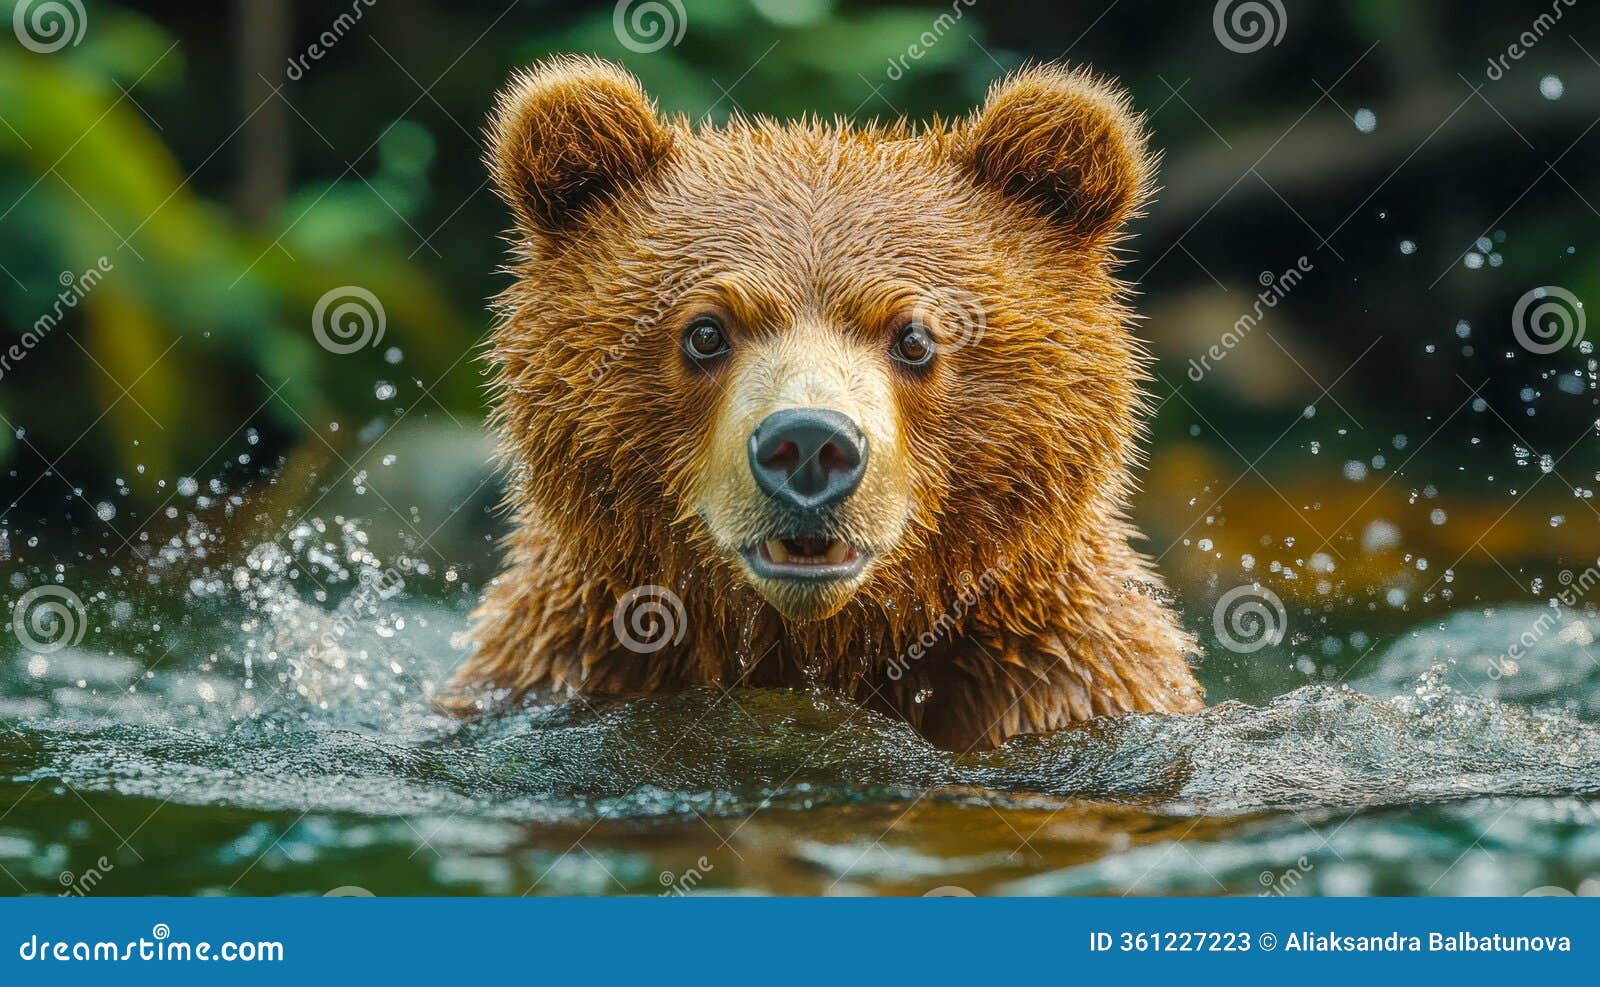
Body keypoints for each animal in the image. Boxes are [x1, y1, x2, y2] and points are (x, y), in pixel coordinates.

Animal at [441, 55, 1203, 751]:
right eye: (706, 331)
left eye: (915, 337)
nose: (809, 443)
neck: (819, 646)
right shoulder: (570, 660)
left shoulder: (1058, 673)